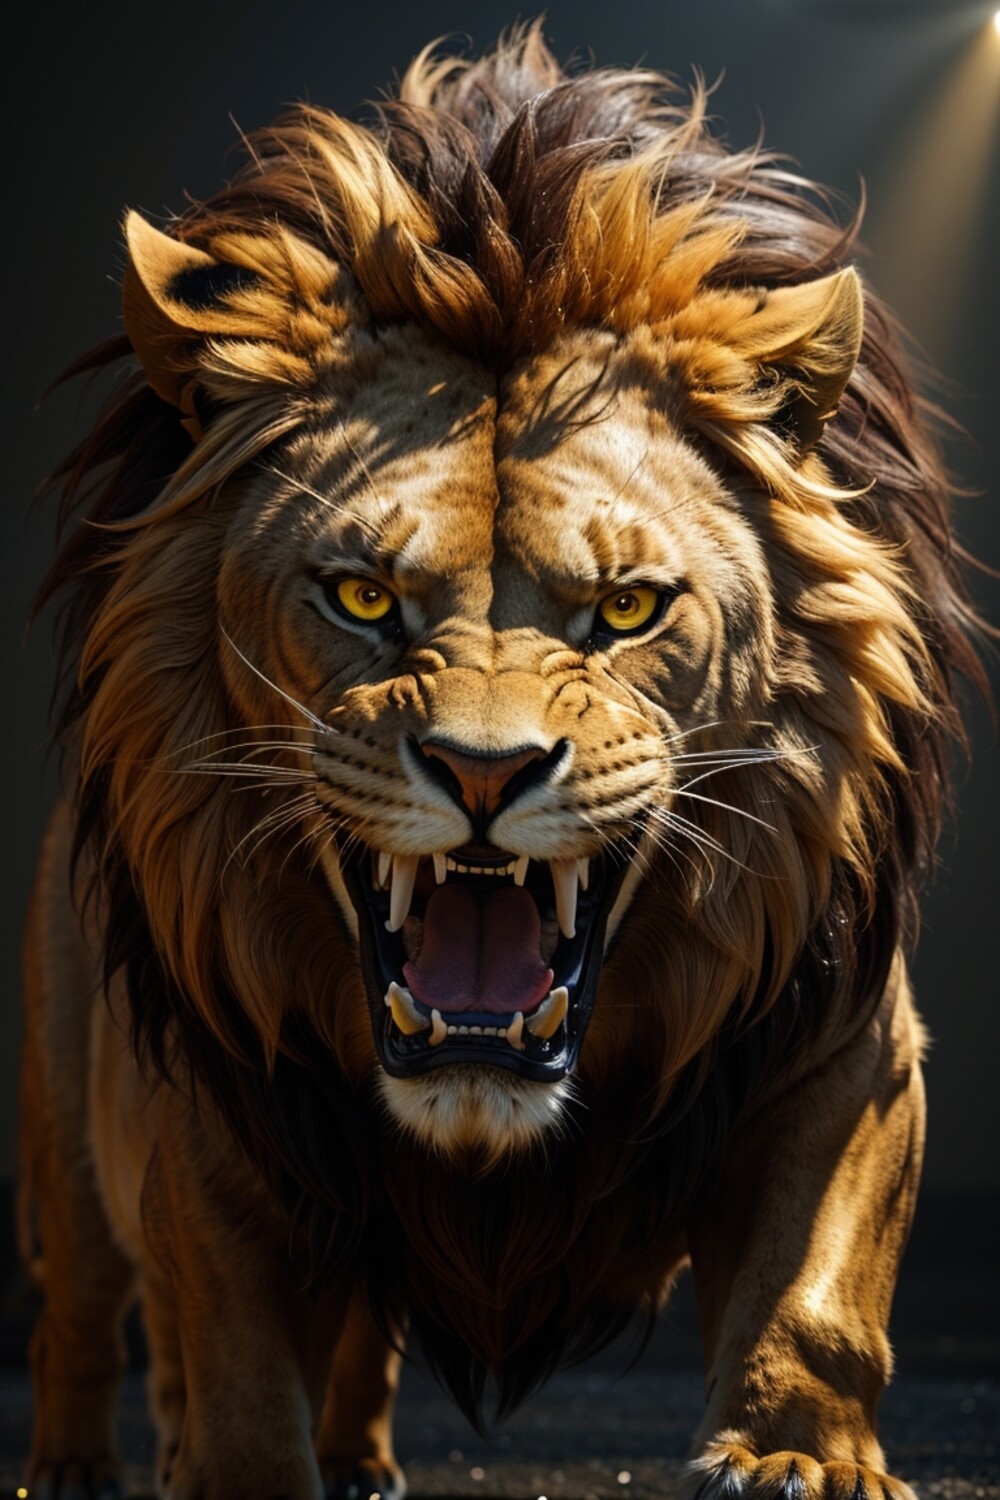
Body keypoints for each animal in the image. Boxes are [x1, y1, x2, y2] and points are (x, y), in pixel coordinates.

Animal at [19, 24, 985, 1500]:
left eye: (628, 608)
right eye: (363, 597)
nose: (483, 775)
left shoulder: (841, 1052)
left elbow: (817, 1280)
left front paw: (792, 1454)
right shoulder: (218, 1088)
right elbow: (229, 1341)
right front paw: (239, 1472)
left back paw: (363, 1460)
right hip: (68, 1115)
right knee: (87, 1304)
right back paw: (82, 1460)